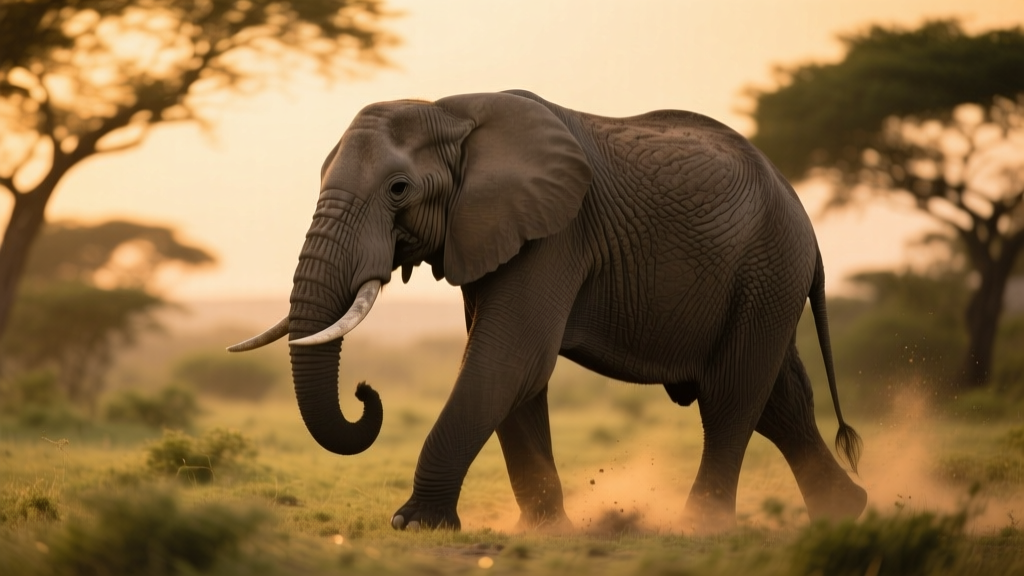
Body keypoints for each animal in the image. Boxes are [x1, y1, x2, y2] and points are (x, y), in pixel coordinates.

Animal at [230, 89, 867, 532]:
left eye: (398, 189)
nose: (365, 391)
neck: (452, 112)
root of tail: (801, 212)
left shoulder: (557, 233)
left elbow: (507, 359)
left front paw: (412, 524)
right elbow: (513, 375)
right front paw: (546, 529)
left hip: (768, 267)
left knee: (731, 396)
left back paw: (701, 527)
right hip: (765, 279)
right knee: (778, 400)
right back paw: (846, 511)